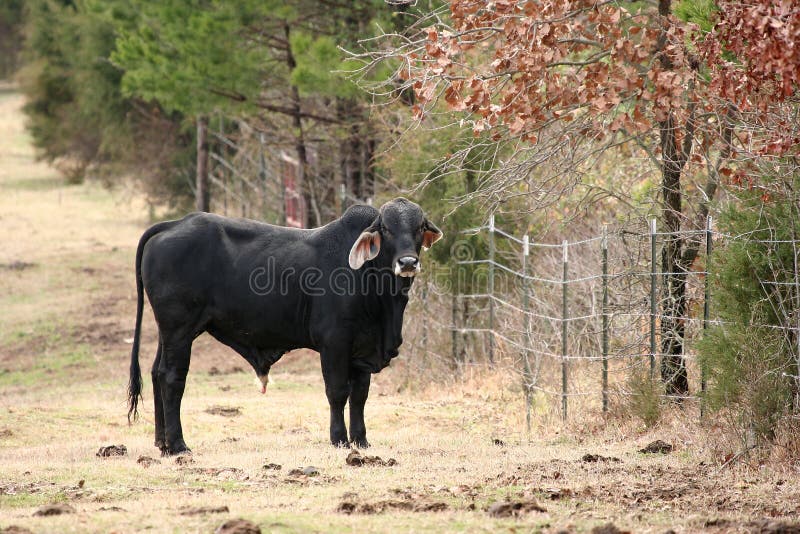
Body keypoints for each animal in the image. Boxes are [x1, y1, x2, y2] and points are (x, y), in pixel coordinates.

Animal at [127, 197, 443, 455]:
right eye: (386, 229)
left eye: (418, 227)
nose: (408, 262)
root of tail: (174, 224)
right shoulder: (334, 343)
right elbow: (338, 392)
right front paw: (339, 439)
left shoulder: (362, 349)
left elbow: (360, 396)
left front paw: (361, 440)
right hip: (179, 331)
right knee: (171, 378)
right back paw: (178, 444)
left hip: (168, 333)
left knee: (156, 373)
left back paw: (162, 443)